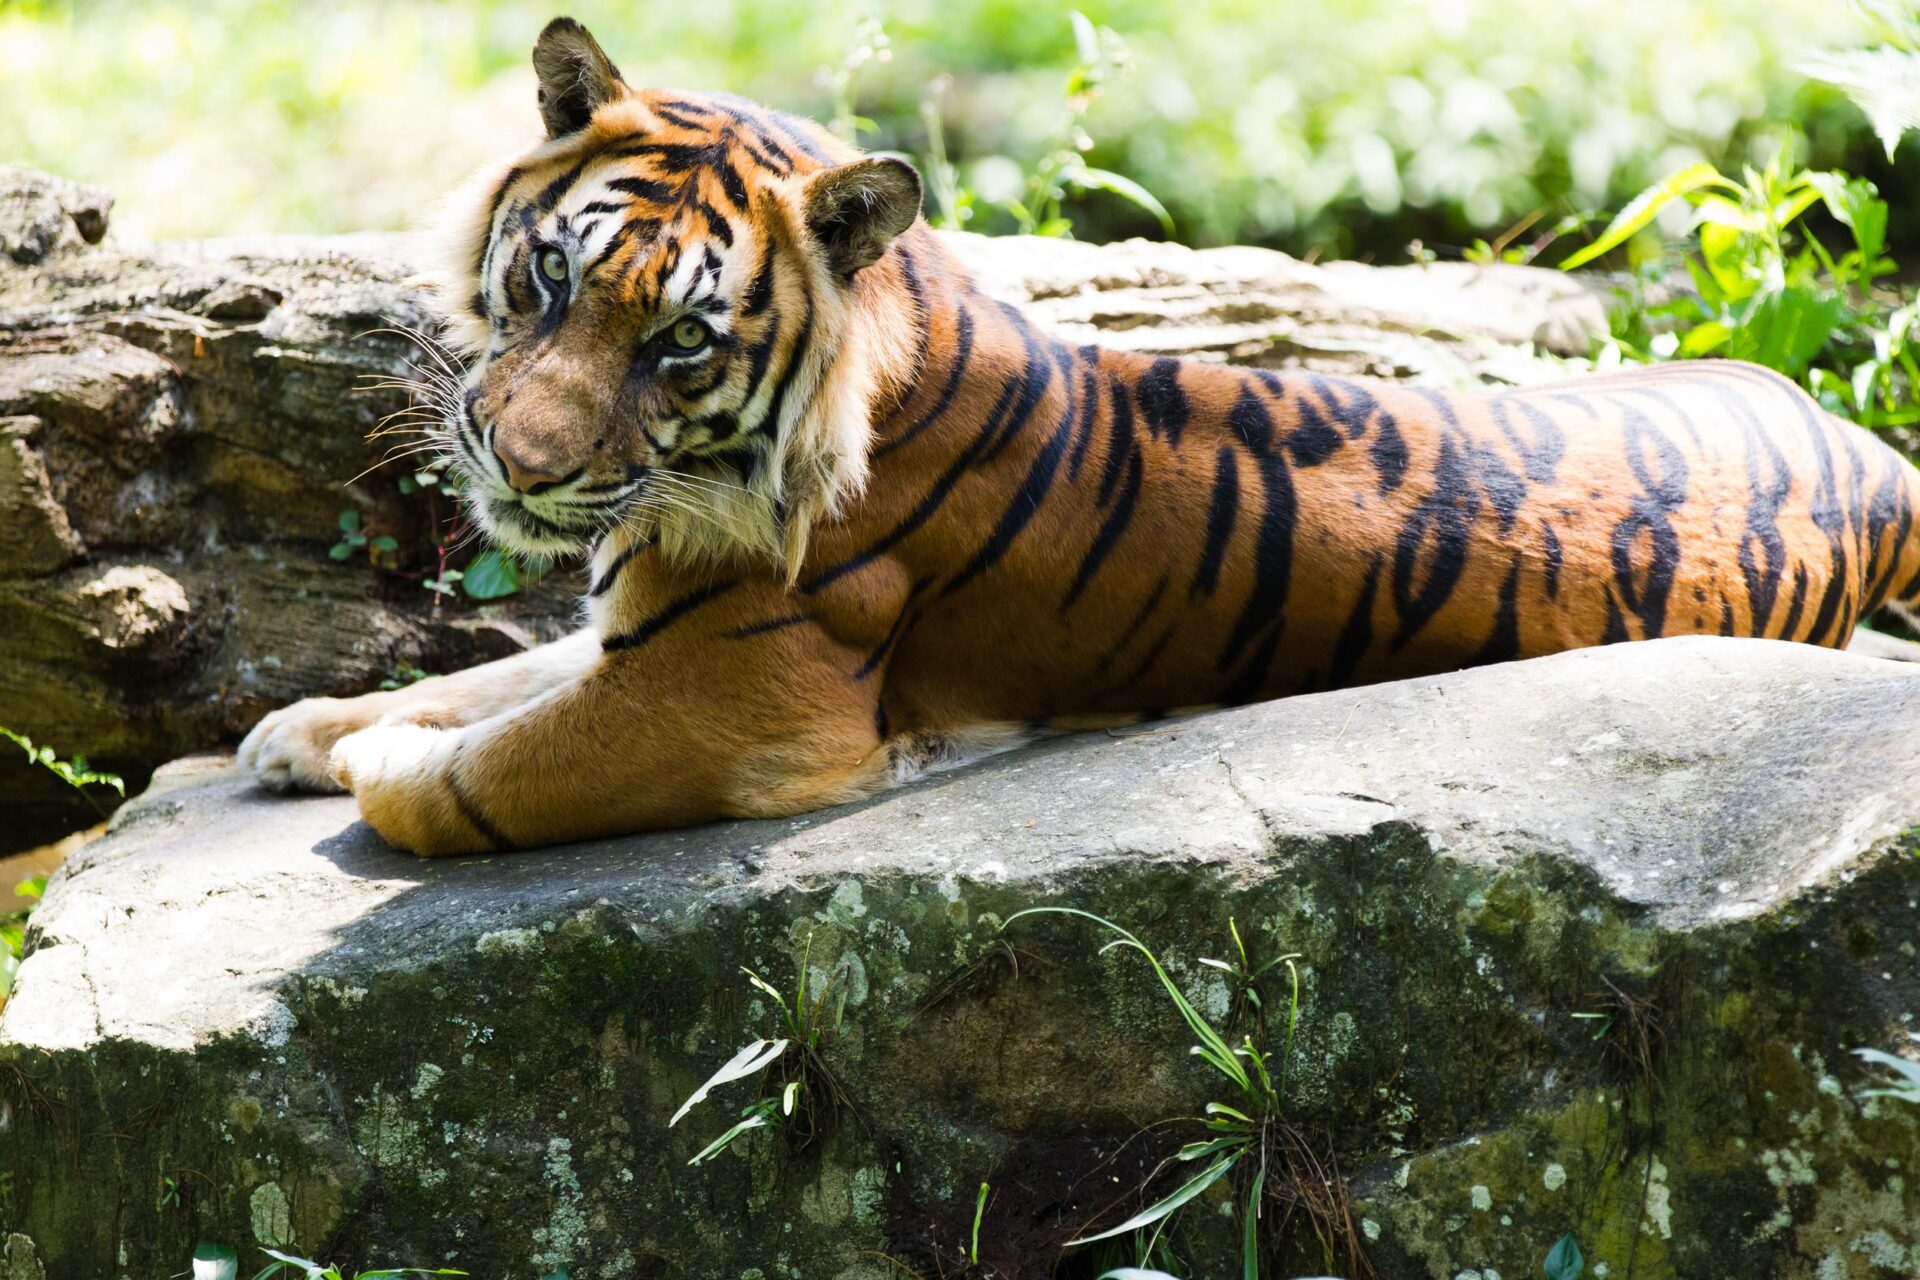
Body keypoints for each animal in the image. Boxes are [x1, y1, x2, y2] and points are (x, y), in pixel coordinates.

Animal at [238, 17, 1920, 855]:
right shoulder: (636, 627)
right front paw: (295, 729)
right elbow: (486, 675)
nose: (517, 467)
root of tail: (1857, 441)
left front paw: (375, 756)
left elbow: (482, 769)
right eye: (547, 272)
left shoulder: (735, 701)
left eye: (684, 342)